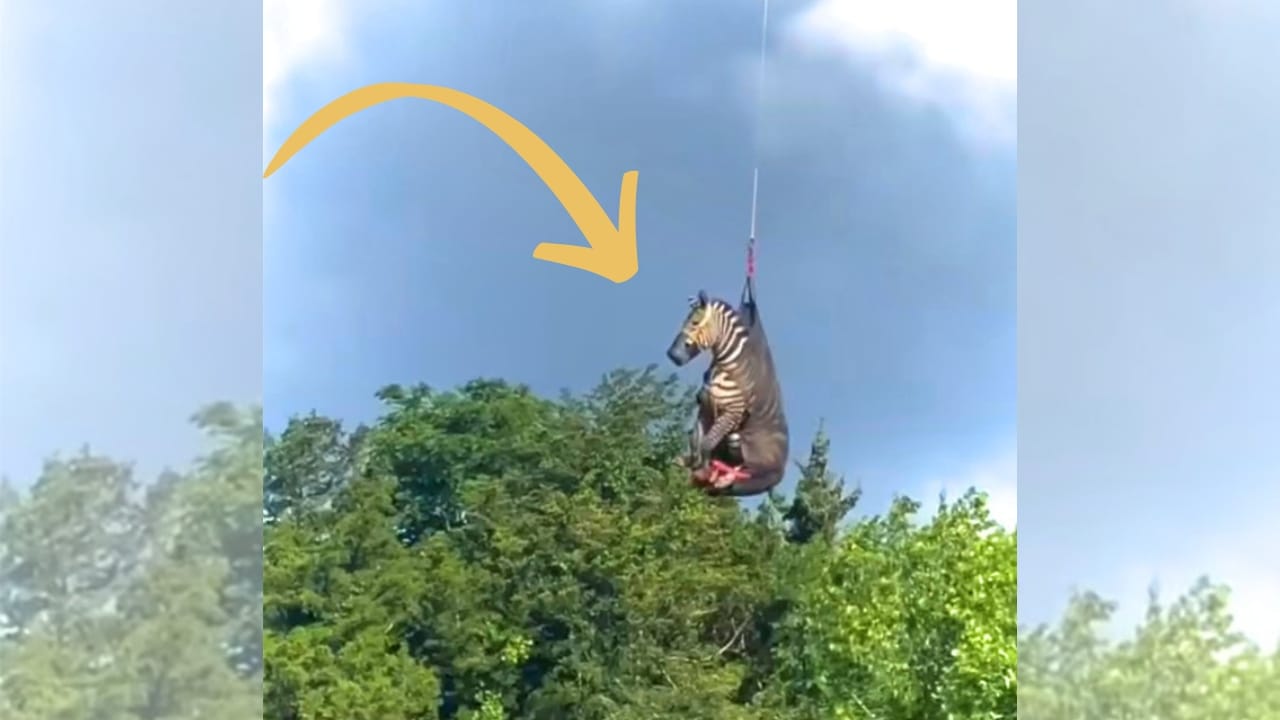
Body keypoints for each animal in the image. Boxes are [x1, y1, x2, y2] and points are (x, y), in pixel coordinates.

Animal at [665, 288, 789, 497]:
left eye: (695, 322)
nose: (673, 355)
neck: (730, 368)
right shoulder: (705, 411)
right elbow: (697, 442)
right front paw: (693, 467)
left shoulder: (732, 413)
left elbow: (706, 443)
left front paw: (702, 472)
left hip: (752, 460)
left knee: (743, 472)